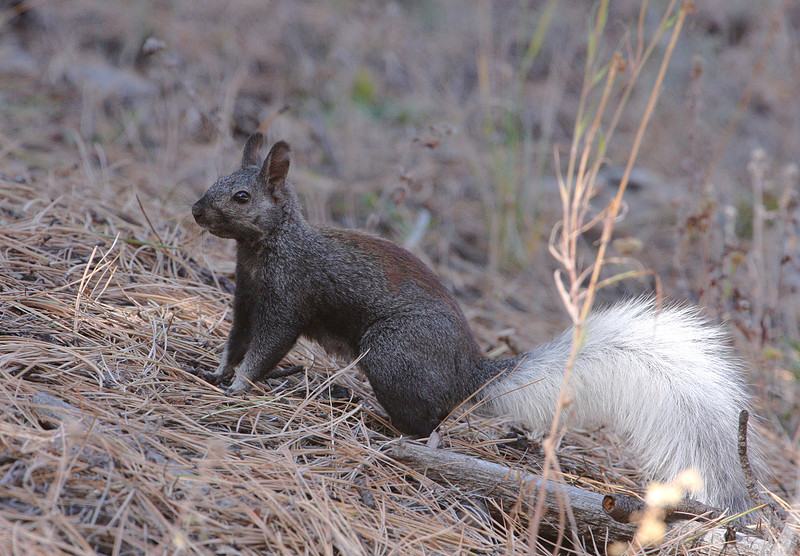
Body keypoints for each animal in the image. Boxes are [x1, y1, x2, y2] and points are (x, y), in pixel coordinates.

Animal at [192, 133, 760, 515]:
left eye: (242, 197)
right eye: (215, 181)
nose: (196, 209)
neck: (265, 250)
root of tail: (467, 374)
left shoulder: (287, 299)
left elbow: (266, 347)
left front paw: (241, 386)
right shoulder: (246, 300)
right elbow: (236, 341)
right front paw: (217, 373)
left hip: (392, 352)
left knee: (429, 423)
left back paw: (392, 433)